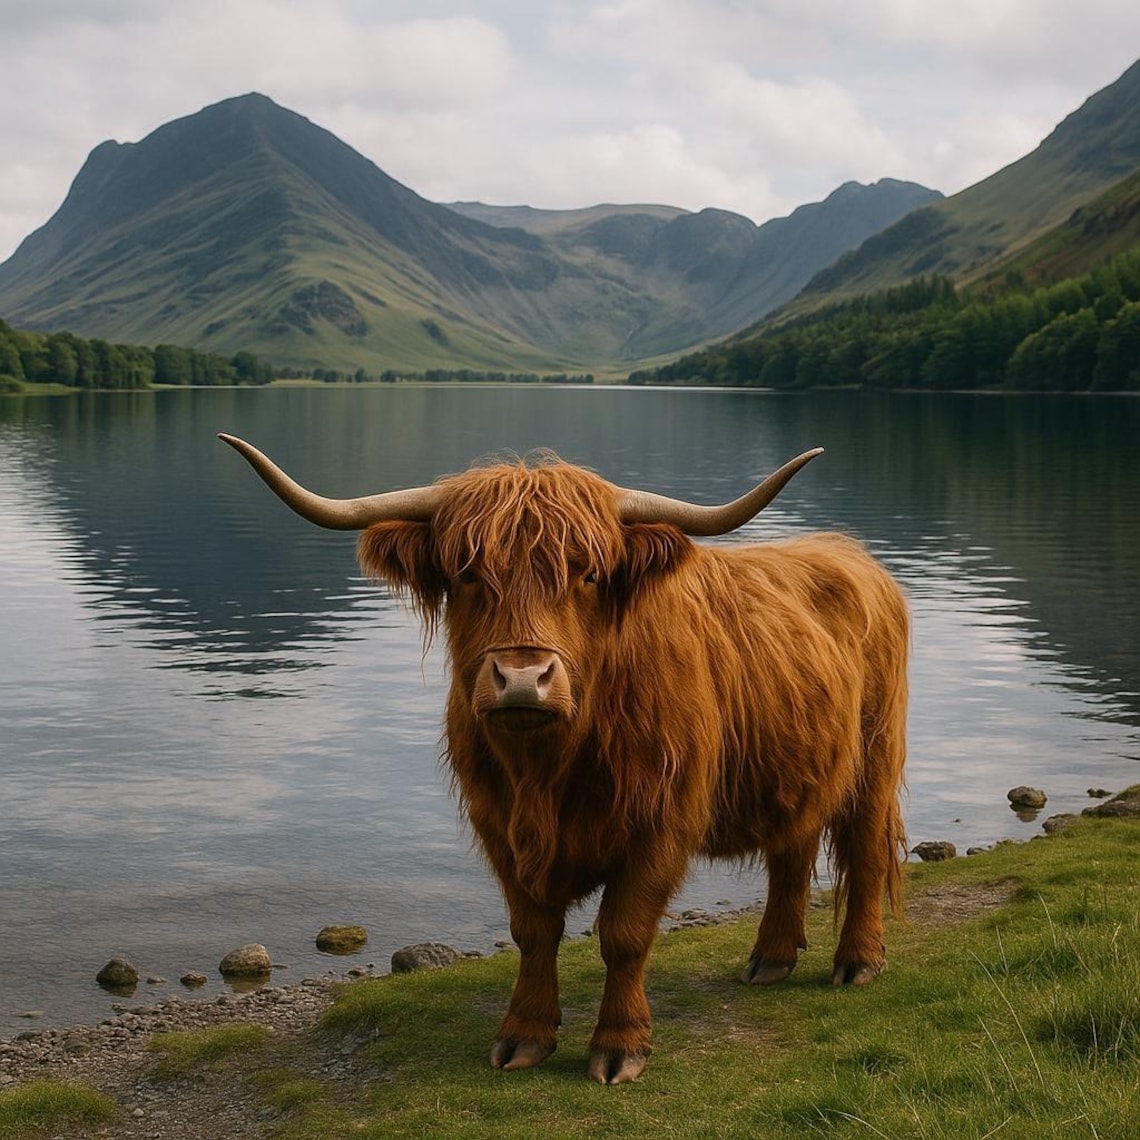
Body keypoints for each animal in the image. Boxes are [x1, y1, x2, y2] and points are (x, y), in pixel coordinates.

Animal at [219, 435, 909, 1084]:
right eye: (467, 573)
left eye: (589, 575)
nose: (523, 679)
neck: (547, 774)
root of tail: (847, 552)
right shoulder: (497, 825)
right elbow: (533, 930)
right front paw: (523, 1035)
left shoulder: (661, 825)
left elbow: (624, 933)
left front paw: (620, 1046)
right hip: (802, 768)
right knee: (791, 851)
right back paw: (771, 960)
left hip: (876, 759)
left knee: (865, 851)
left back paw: (858, 962)